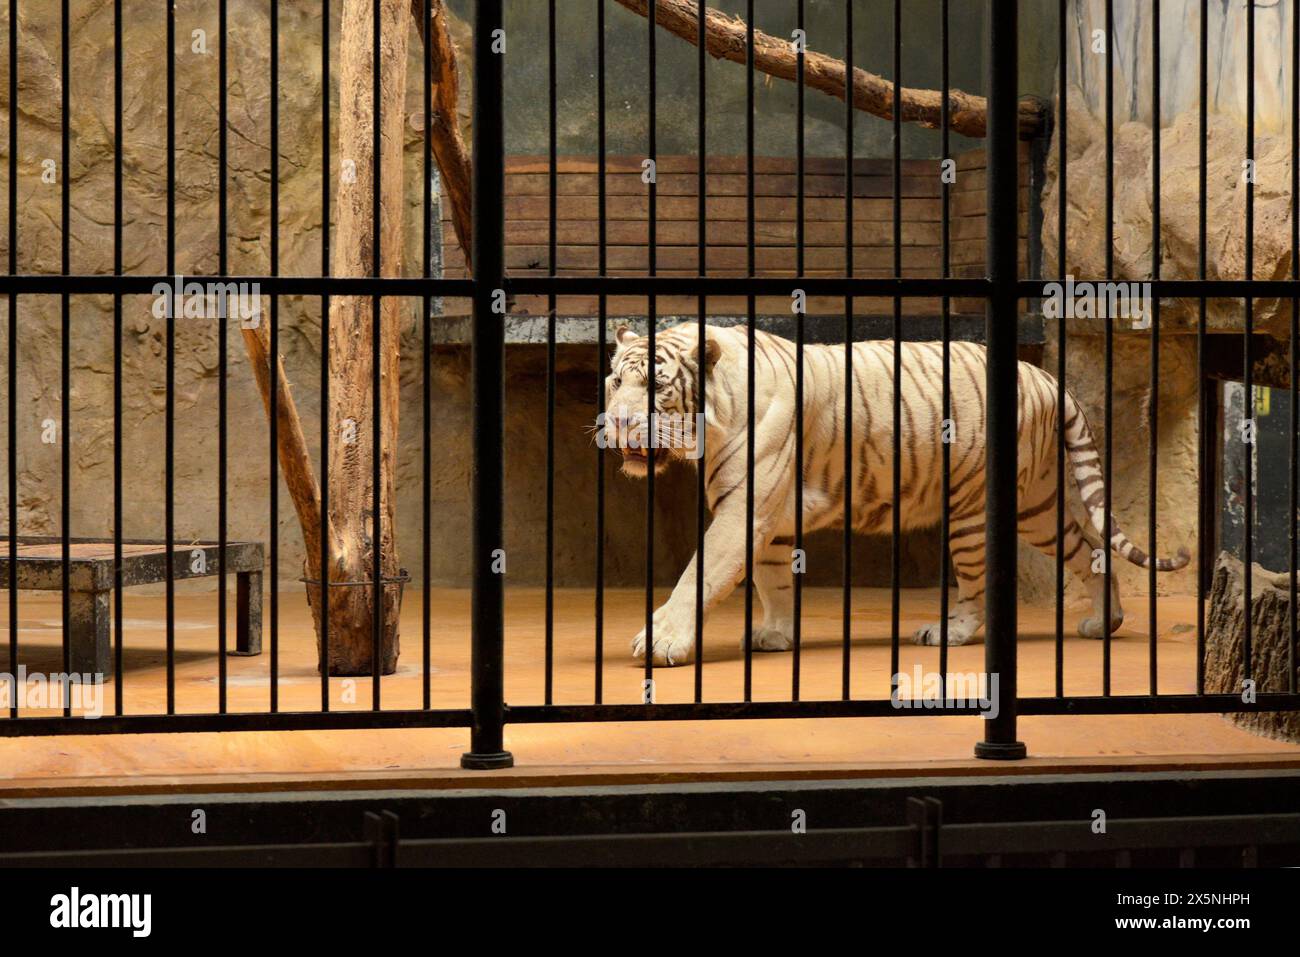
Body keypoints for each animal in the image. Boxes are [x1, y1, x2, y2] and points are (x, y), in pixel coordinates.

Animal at [602, 321, 1190, 667]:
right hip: (1038, 506)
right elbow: (774, 581)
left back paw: (947, 633)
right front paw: (776, 634)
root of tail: (1045, 376)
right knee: (1089, 548)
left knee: (976, 588)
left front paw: (662, 641)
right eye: (615, 383)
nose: (619, 423)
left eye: (655, 387)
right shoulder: (771, 516)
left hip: (973, 511)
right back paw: (1104, 623)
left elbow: (699, 574)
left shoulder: (745, 506)